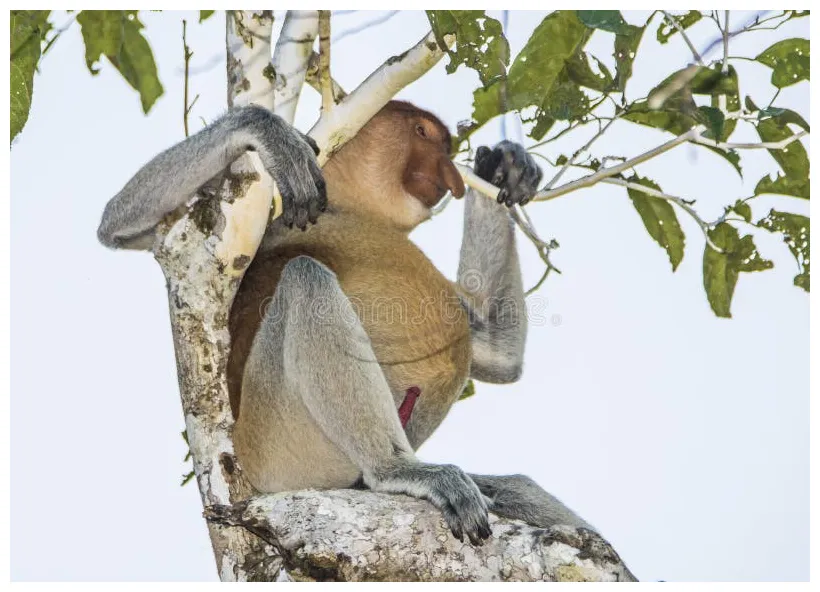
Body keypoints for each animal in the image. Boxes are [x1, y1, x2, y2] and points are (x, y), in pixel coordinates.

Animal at [98, 100, 591, 545]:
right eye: (423, 133)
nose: (451, 178)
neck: (355, 208)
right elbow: (124, 226)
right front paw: (265, 131)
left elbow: (497, 355)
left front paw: (504, 168)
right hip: (283, 445)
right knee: (304, 278)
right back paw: (399, 471)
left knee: (522, 488)